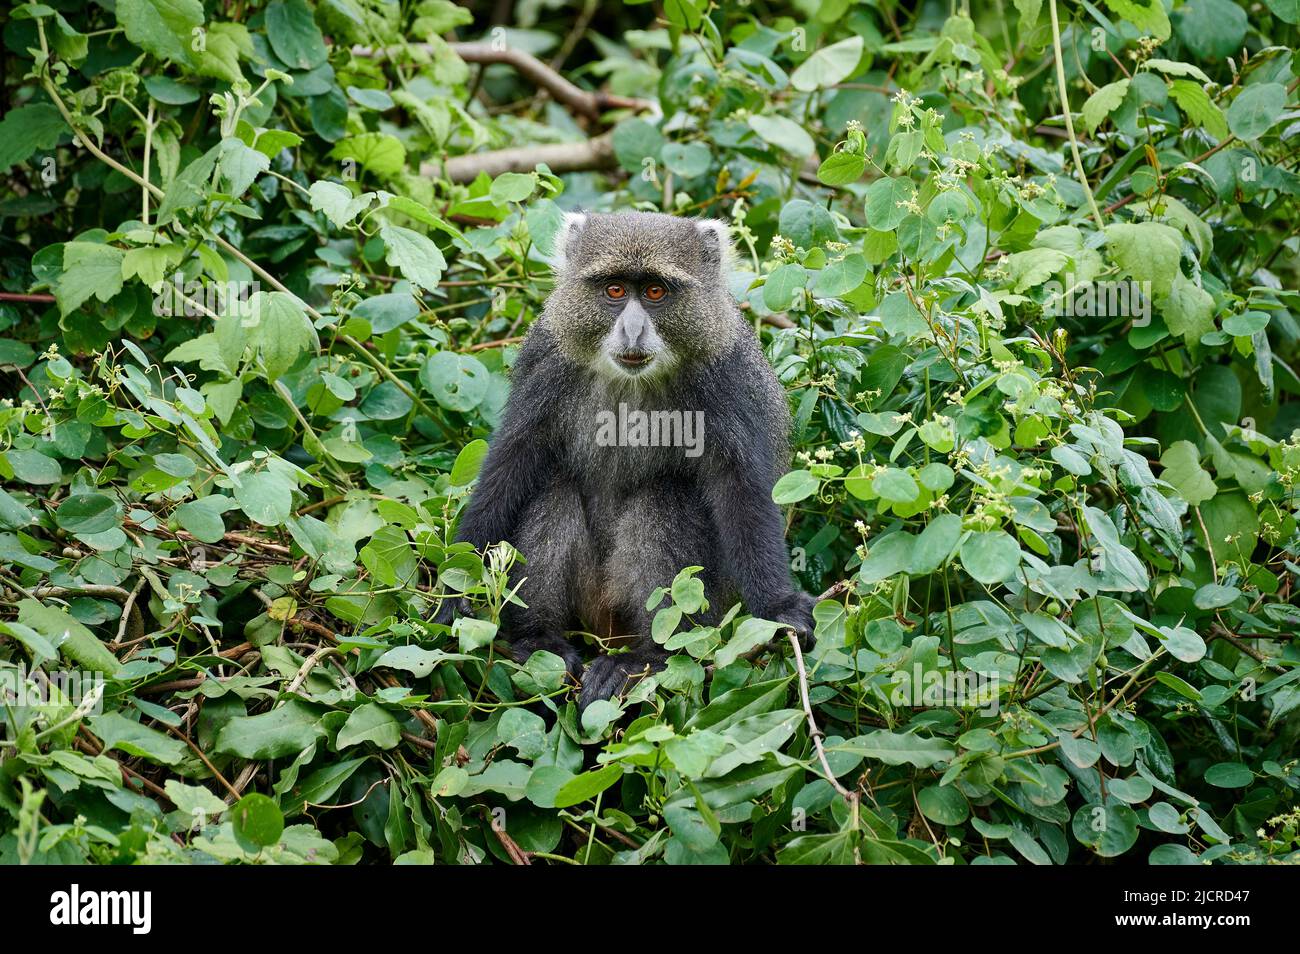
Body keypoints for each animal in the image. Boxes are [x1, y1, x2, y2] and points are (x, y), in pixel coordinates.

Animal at [437, 211, 816, 711]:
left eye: (655, 292)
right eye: (615, 290)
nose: (633, 330)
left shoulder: (725, 377)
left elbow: (739, 489)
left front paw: (779, 608)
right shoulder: (547, 358)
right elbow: (514, 460)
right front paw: (454, 591)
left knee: (665, 497)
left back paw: (645, 658)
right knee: (554, 487)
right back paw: (539, 640)